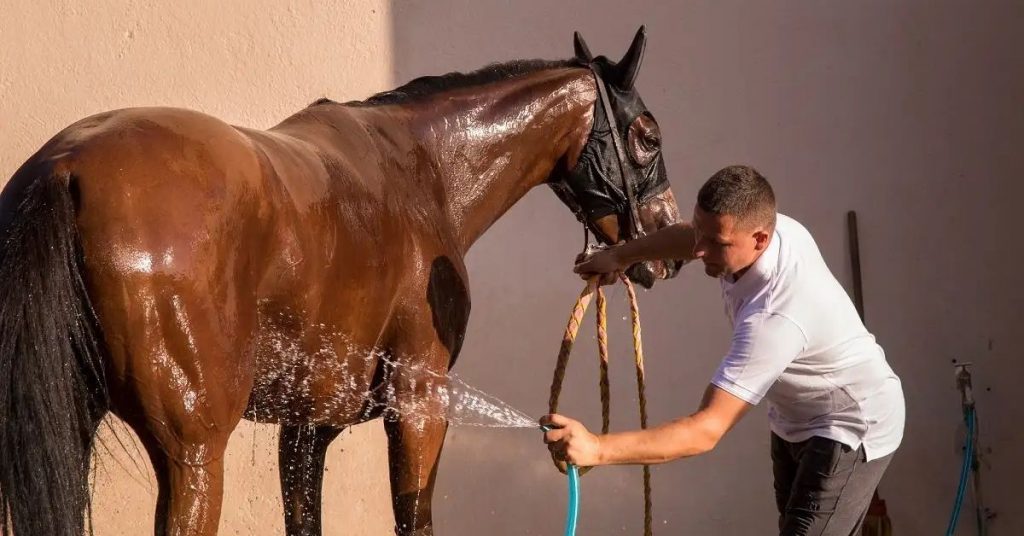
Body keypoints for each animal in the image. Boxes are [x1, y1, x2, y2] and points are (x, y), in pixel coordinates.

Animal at [0, 27, 682, 535]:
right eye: (648, 136)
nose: (667, 246)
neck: (423, 168)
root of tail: (65, 168)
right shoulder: (419, 404)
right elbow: (413, 517)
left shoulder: (309, 426)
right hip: (193, 454)